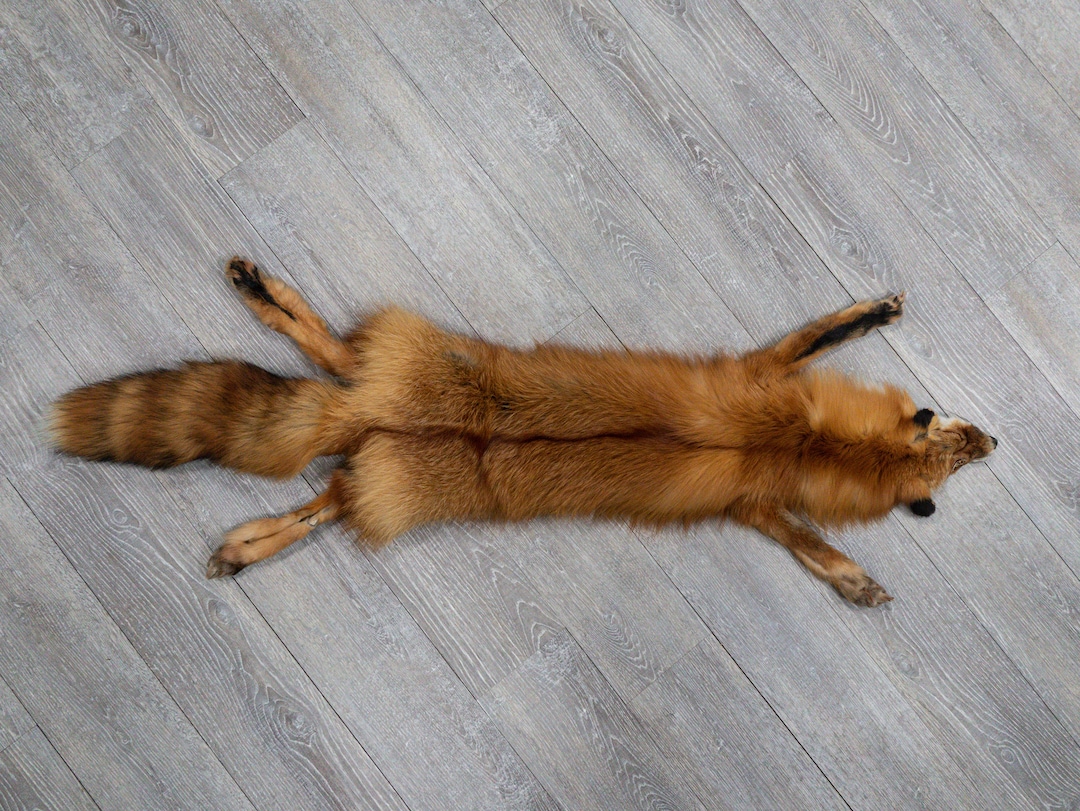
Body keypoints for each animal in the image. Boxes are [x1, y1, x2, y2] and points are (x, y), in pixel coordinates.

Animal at [49, 258, 997, 607]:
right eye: (955, 442)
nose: (997, 445)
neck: (800, 444)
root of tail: (366, 416)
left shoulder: (754, 484)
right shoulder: (761, 401)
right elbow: (824, 340)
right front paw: (855, 579)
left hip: (377, 457)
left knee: (323, 452)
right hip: (396, 444)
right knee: (324, 442)